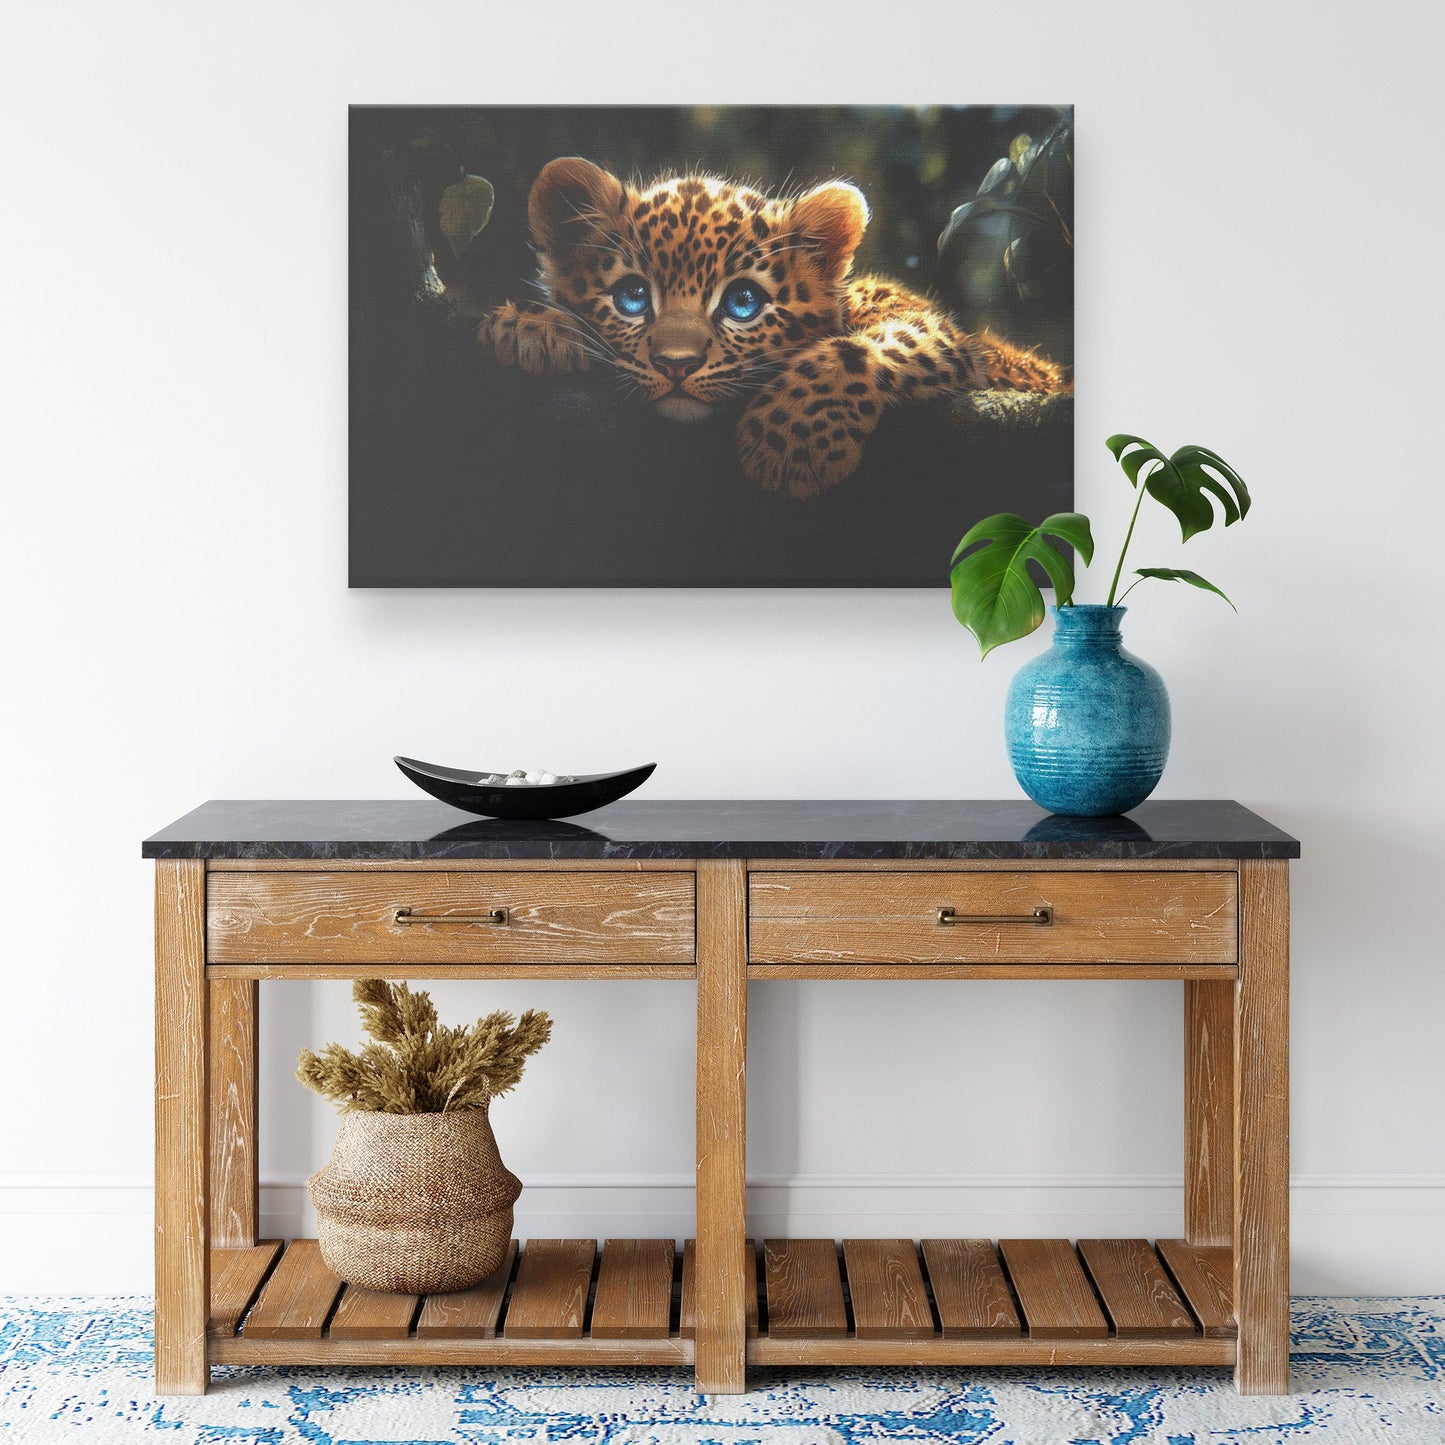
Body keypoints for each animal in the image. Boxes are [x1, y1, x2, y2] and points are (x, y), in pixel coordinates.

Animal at [477, 156, 1067, 500]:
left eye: (743, 303)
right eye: (632, 297)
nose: (676, 365)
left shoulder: (953, 340)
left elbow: (867, 345)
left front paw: (791, 442)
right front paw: (531, 325)